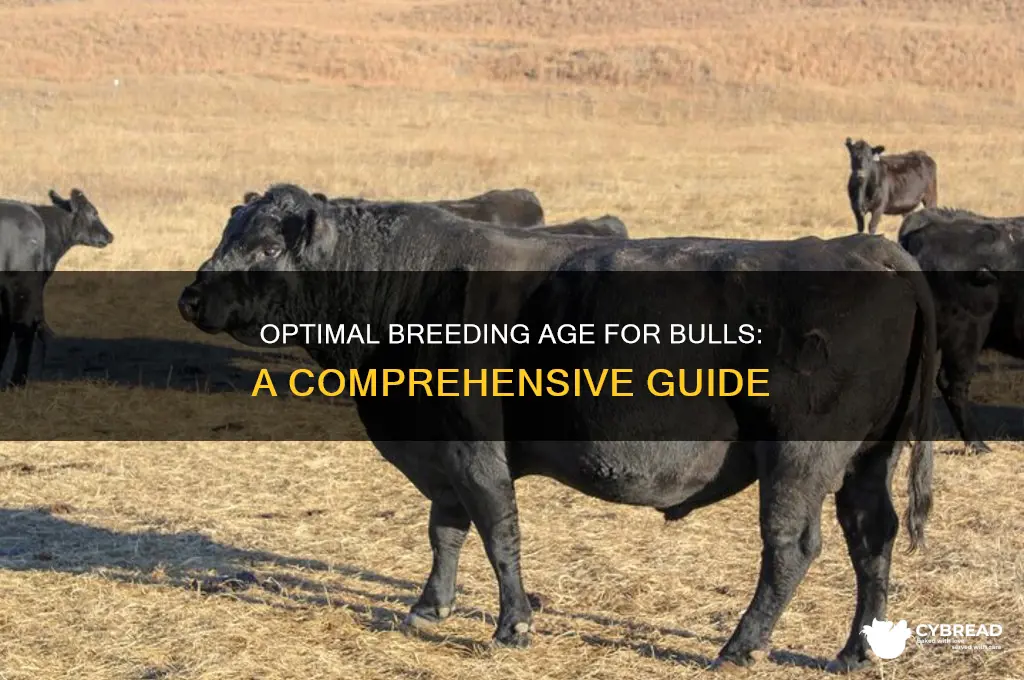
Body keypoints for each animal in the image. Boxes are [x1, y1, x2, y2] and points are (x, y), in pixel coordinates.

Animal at [178, 183, 935, 673]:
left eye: (267, 245)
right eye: (226, 234)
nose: (189, 296)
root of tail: (860, 248)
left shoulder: (474, 448)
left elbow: (498, 531)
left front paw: (512, 622)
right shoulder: (440, 451)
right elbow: (445, 531)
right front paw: (430, 606)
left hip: (800, 457)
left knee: (791, 547)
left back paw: (740, 647)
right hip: (867, 459)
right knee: (872, 537)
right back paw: (857, 651)